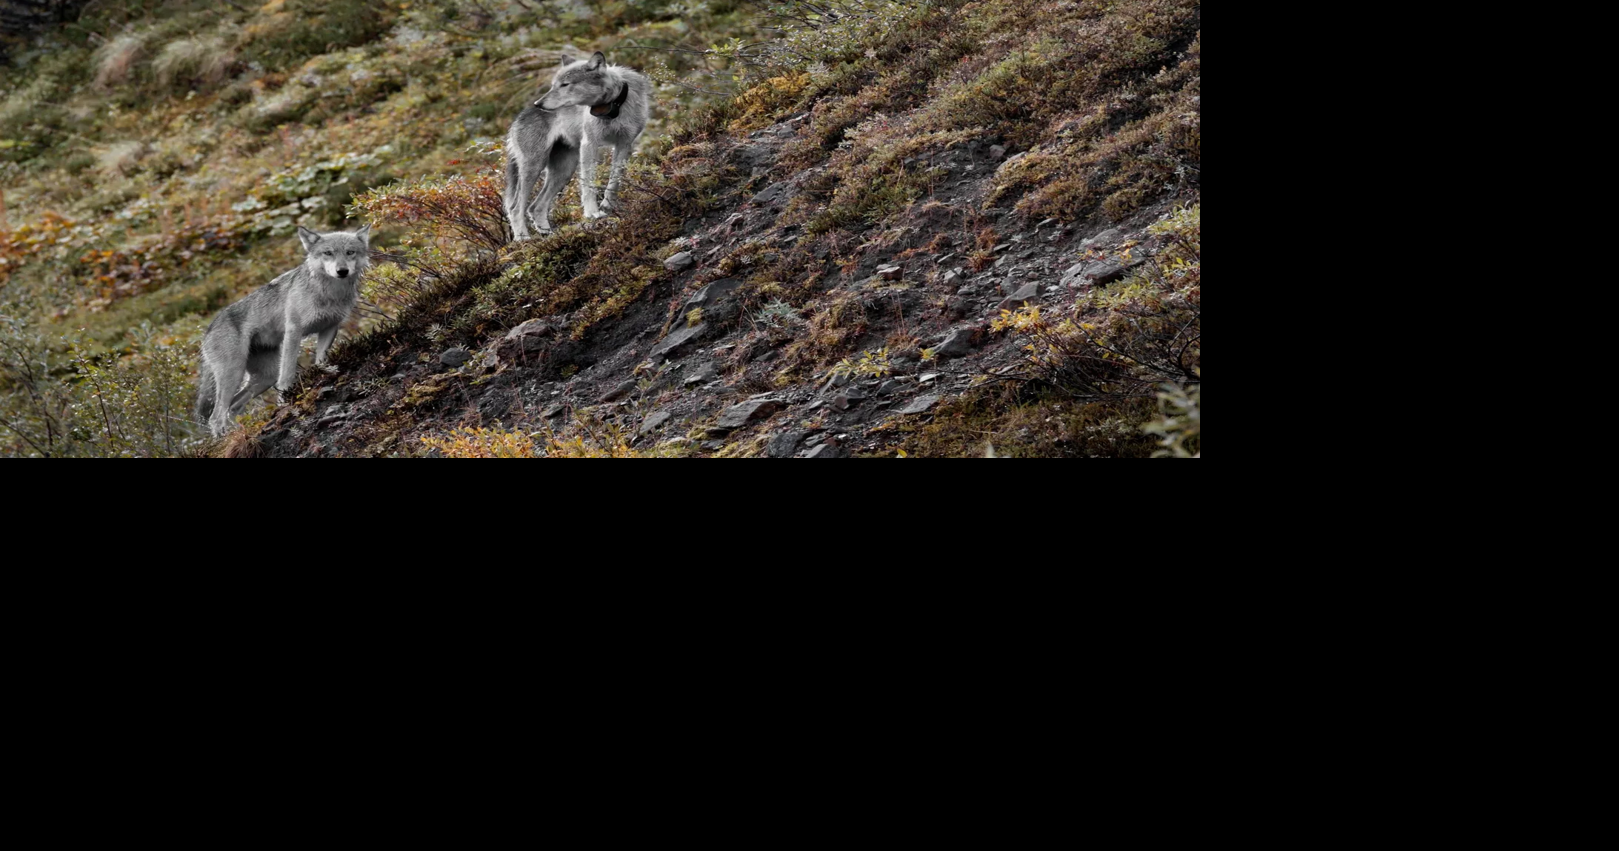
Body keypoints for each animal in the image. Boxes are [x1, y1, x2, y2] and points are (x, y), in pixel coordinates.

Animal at [195, 225, 371, 437]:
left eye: (350, 252)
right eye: (328, 253)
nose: (342, 271)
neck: (330, 293)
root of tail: (208, 330)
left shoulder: (330, 327)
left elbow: (321, 359)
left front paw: (326, 372)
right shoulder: (294, 331)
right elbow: (287, 373)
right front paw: (285, 400)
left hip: (265, 377)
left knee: (233, 407)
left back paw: (241, 434)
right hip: (234, 373)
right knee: (216, 416)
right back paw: (226, 437)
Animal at [504, 51, 651, 240]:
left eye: (565, 84)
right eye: (553, 85)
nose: (538, 104)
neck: (612, 107)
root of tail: (517, 119)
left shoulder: (624, 145)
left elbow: (614, 182)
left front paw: (607, 207)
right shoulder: (589, 144)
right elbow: (588, 184)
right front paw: (592, 213)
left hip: (564, 171)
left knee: (535, 206)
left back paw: (548, 233)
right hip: (534, 166)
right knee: (516, 208)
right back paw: (523, 238)